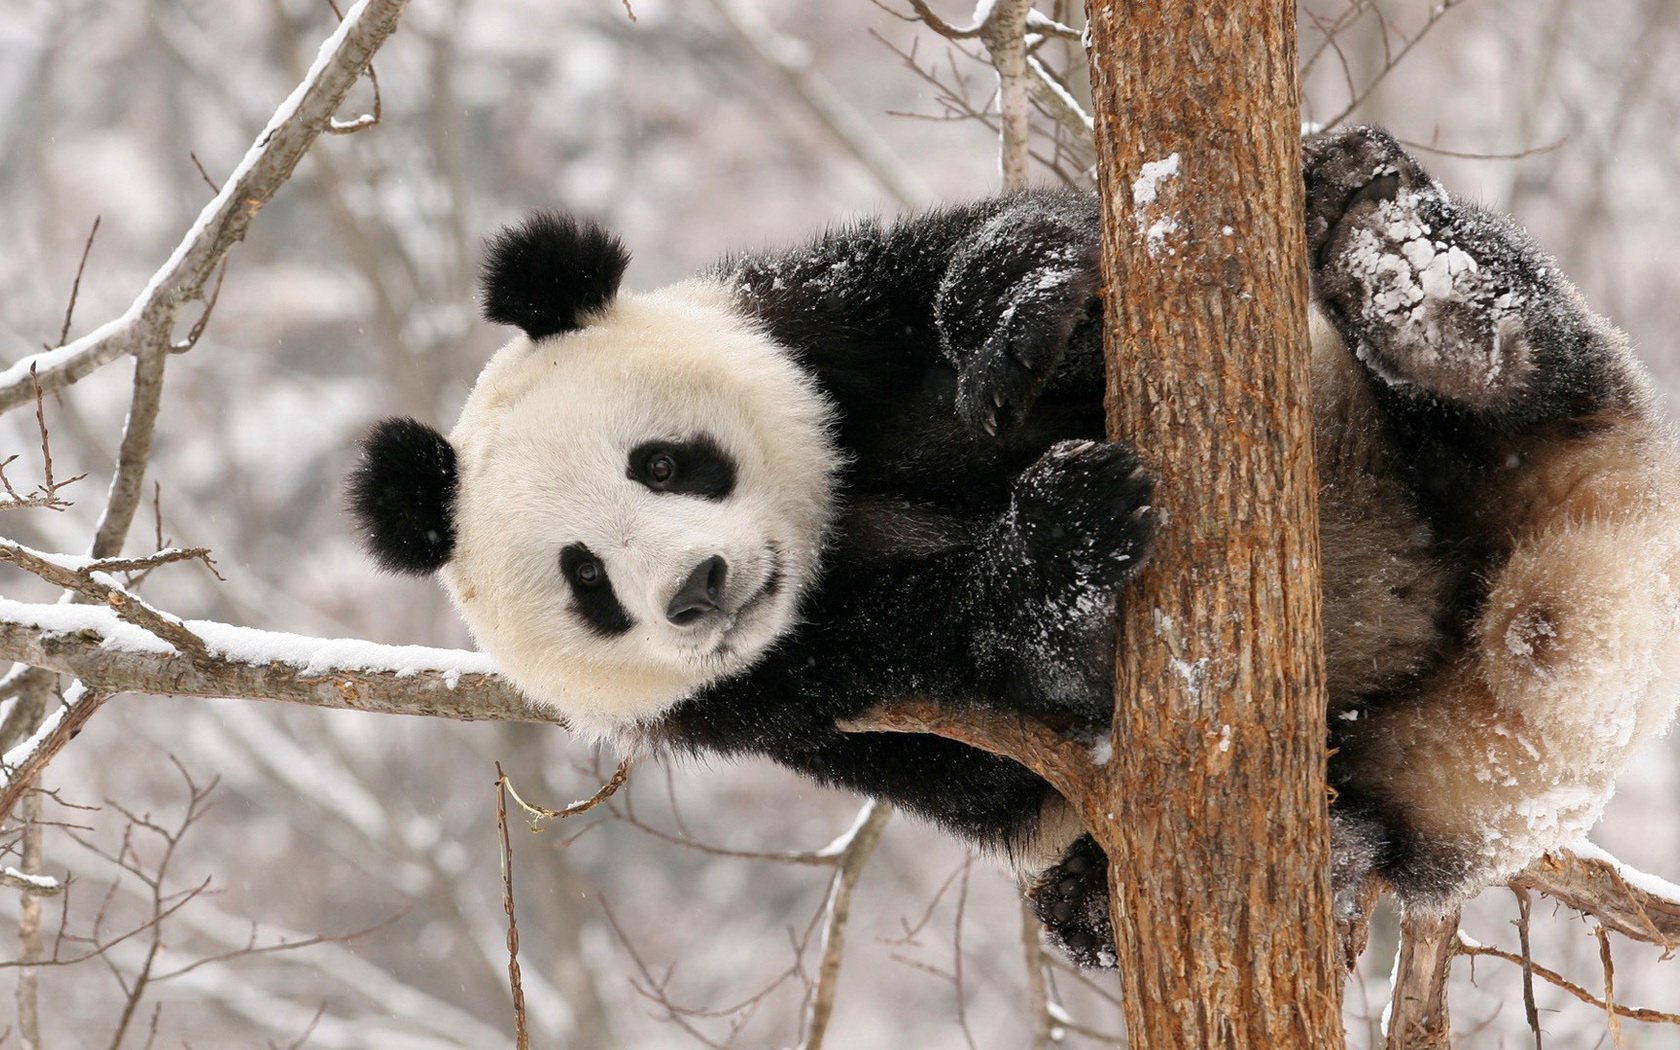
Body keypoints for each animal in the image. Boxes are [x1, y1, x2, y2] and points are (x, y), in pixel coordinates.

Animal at [347, 126, 1680, 968]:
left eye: (666, 463)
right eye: (587, 580)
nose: (701, 587)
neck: (829, 534)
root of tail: (1555, 630)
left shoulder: (813, 323)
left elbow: (978, 269)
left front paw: (1018, 311)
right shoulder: (765, 698)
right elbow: (978, 705)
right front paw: (1065, 536)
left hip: (1473, 432)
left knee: (1527, 367)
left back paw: (1411, 274)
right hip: (1417, 765)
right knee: (1378, 831)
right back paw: (1261, 865)